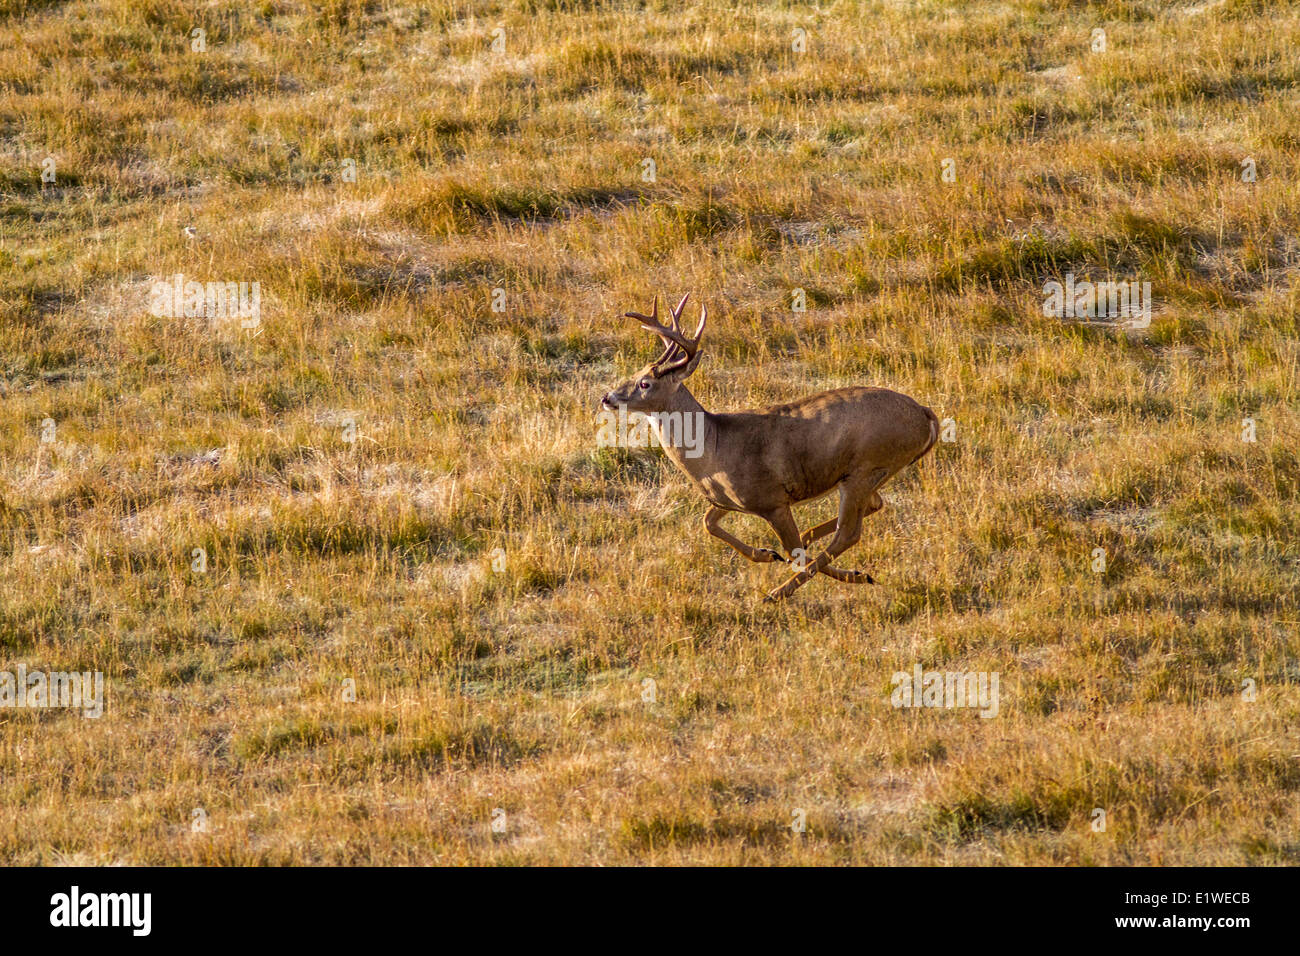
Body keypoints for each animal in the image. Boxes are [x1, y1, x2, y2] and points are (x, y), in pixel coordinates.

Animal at [600, 293, 939, 602]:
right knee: (873, 506)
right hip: (869, 474)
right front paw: (767, 553)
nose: (607, 398)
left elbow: (793, 548)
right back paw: (821, 551)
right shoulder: (728, 500)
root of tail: (925, 415)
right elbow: (708, 523)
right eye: (635, 373)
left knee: (848, 533)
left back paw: (781, 592)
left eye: (645, 383)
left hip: (865, 467)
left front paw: (793, 567)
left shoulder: (772, 500)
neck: (714, 447)